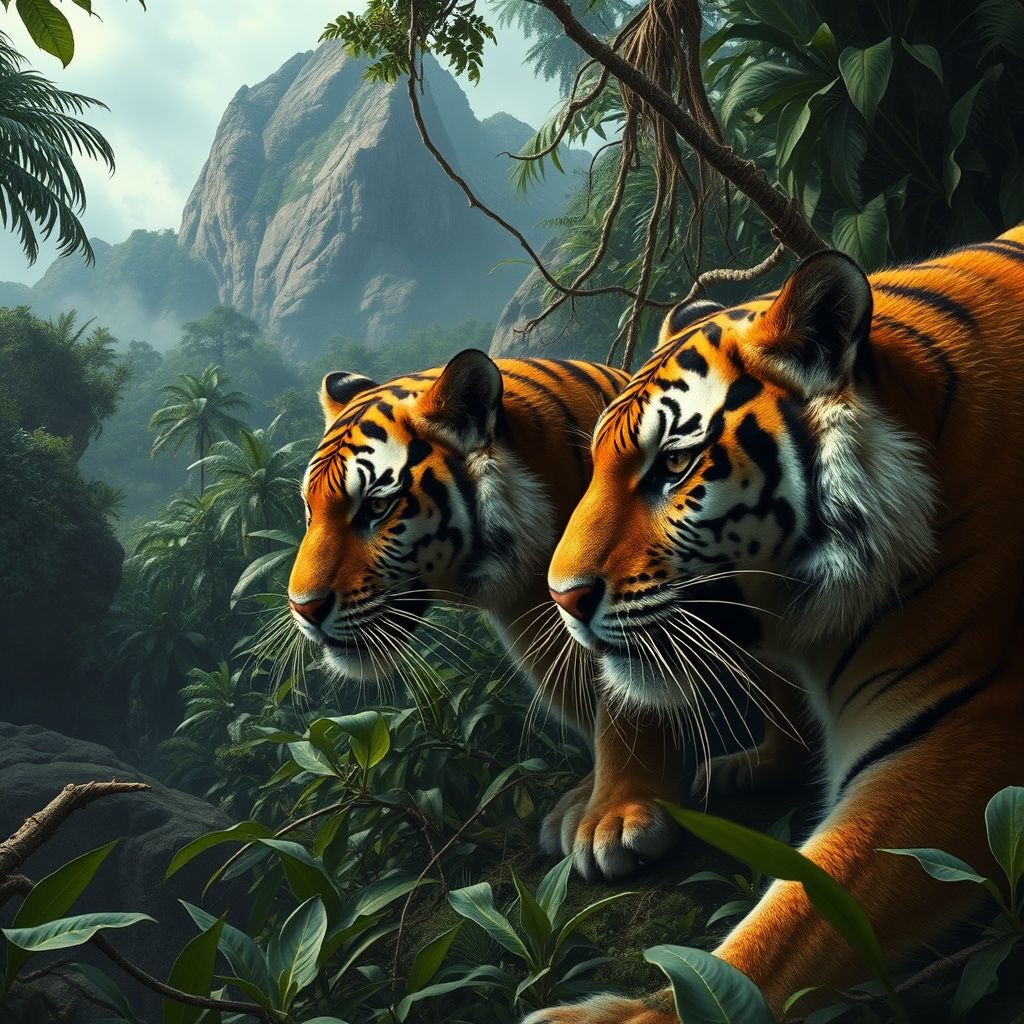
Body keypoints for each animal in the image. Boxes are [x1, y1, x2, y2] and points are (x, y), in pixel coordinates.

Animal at [287, 350, 684, 879]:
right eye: (310, 510)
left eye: (375, 507)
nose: (303, 608)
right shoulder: (533, 624)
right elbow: (583, 697)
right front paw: (586, 798)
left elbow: (630, 701)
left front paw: (618, 818)